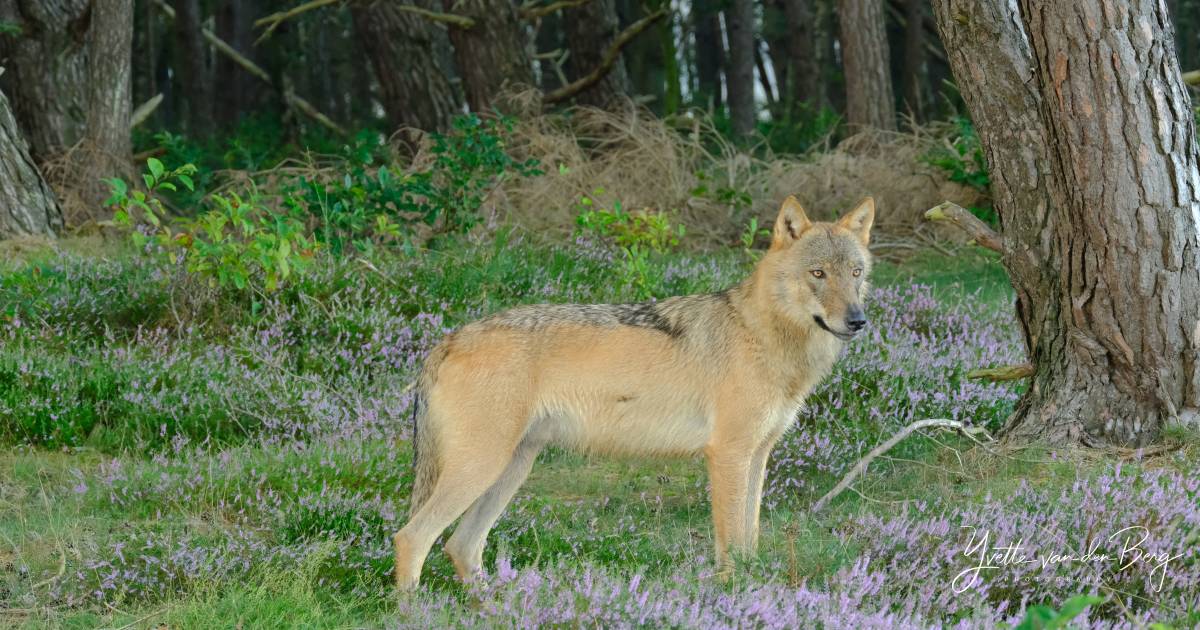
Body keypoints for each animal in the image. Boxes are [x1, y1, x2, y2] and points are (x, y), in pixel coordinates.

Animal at [393, 196, 874, 588]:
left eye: (855, 273)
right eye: (817, 274)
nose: (857, 320)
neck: (761, 334)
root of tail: (446, 341)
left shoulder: (757, 456)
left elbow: (750, 539)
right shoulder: (728, 455)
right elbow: (731, 544)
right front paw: (732, 595)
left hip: (509, 471)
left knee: (461, 545)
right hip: (482, 468)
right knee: (411, 537)